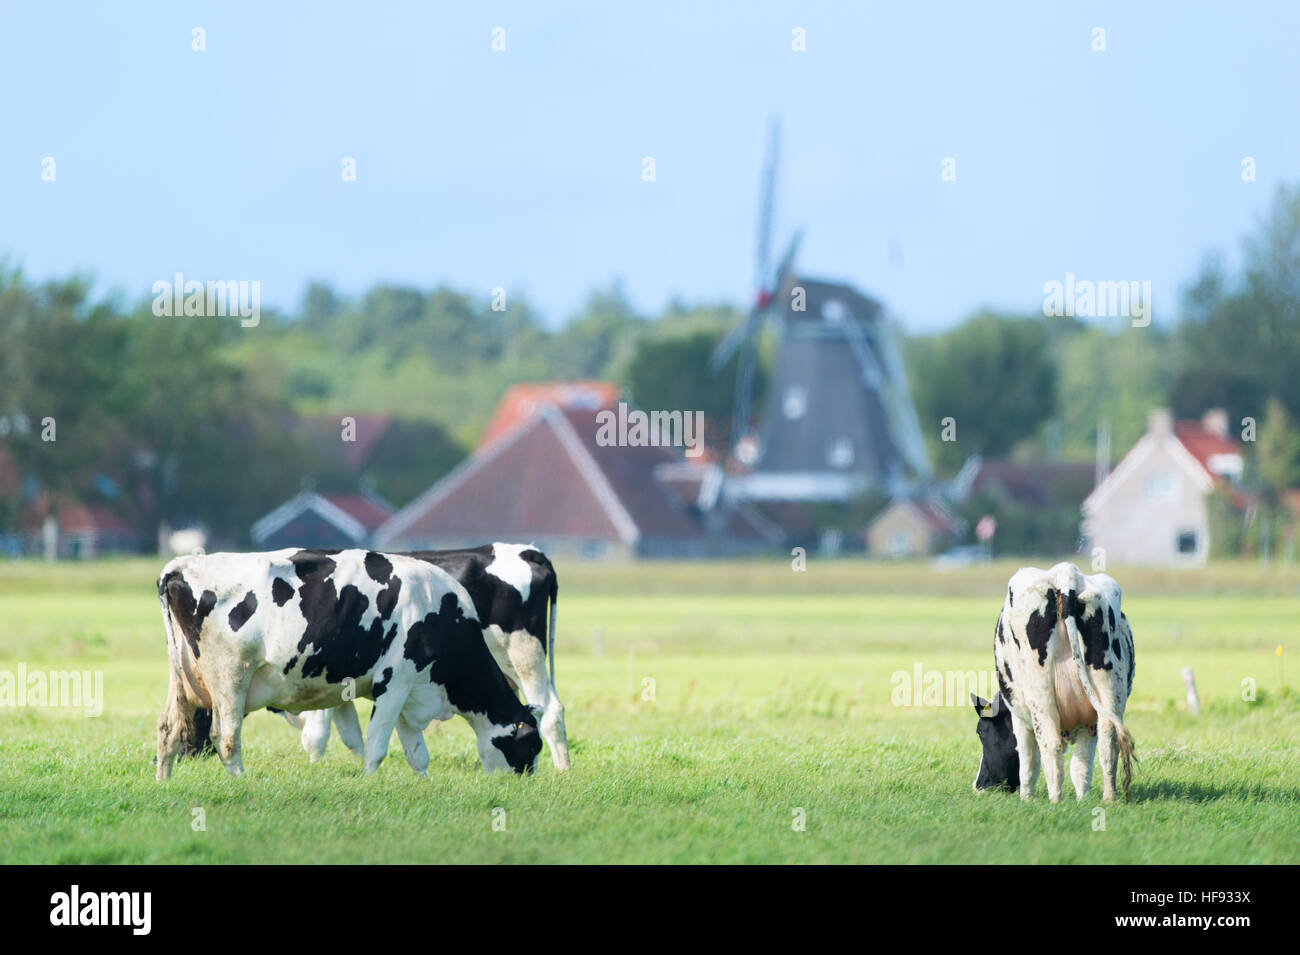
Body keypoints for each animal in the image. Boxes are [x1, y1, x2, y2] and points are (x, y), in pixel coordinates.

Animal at [154, 548, 544, 780]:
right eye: (531, 747)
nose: (524, 782)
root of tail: (183, 564)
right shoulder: (394, 683)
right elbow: (376, 745)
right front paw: (371, 784)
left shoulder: (411, 689)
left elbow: (417, 752)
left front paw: (423, 783)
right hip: (230, 677)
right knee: (226, 737)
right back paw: (241, 784)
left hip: (182, 680)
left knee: (168, 729)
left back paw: (165, 782)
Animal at [286, 543, 570, 771]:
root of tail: (528, 551)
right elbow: (350, 732)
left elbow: (317, 732)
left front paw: (315, 767)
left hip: (524, 655)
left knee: (551, 710)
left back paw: (562, 771)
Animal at [972, 562, 1135, 803]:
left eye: (980, 731)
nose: (979, 785)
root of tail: (1065, 574)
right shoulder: (1088, 724)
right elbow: (1081, 767)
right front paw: (1081, 801)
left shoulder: (1020, 719)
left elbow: (1028, 763)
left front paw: (1027, 799)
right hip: (1109, 691)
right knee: (1109, 741)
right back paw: (1109, 799)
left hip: (1041, 696)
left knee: (1050, 745)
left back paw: (1054, 800)